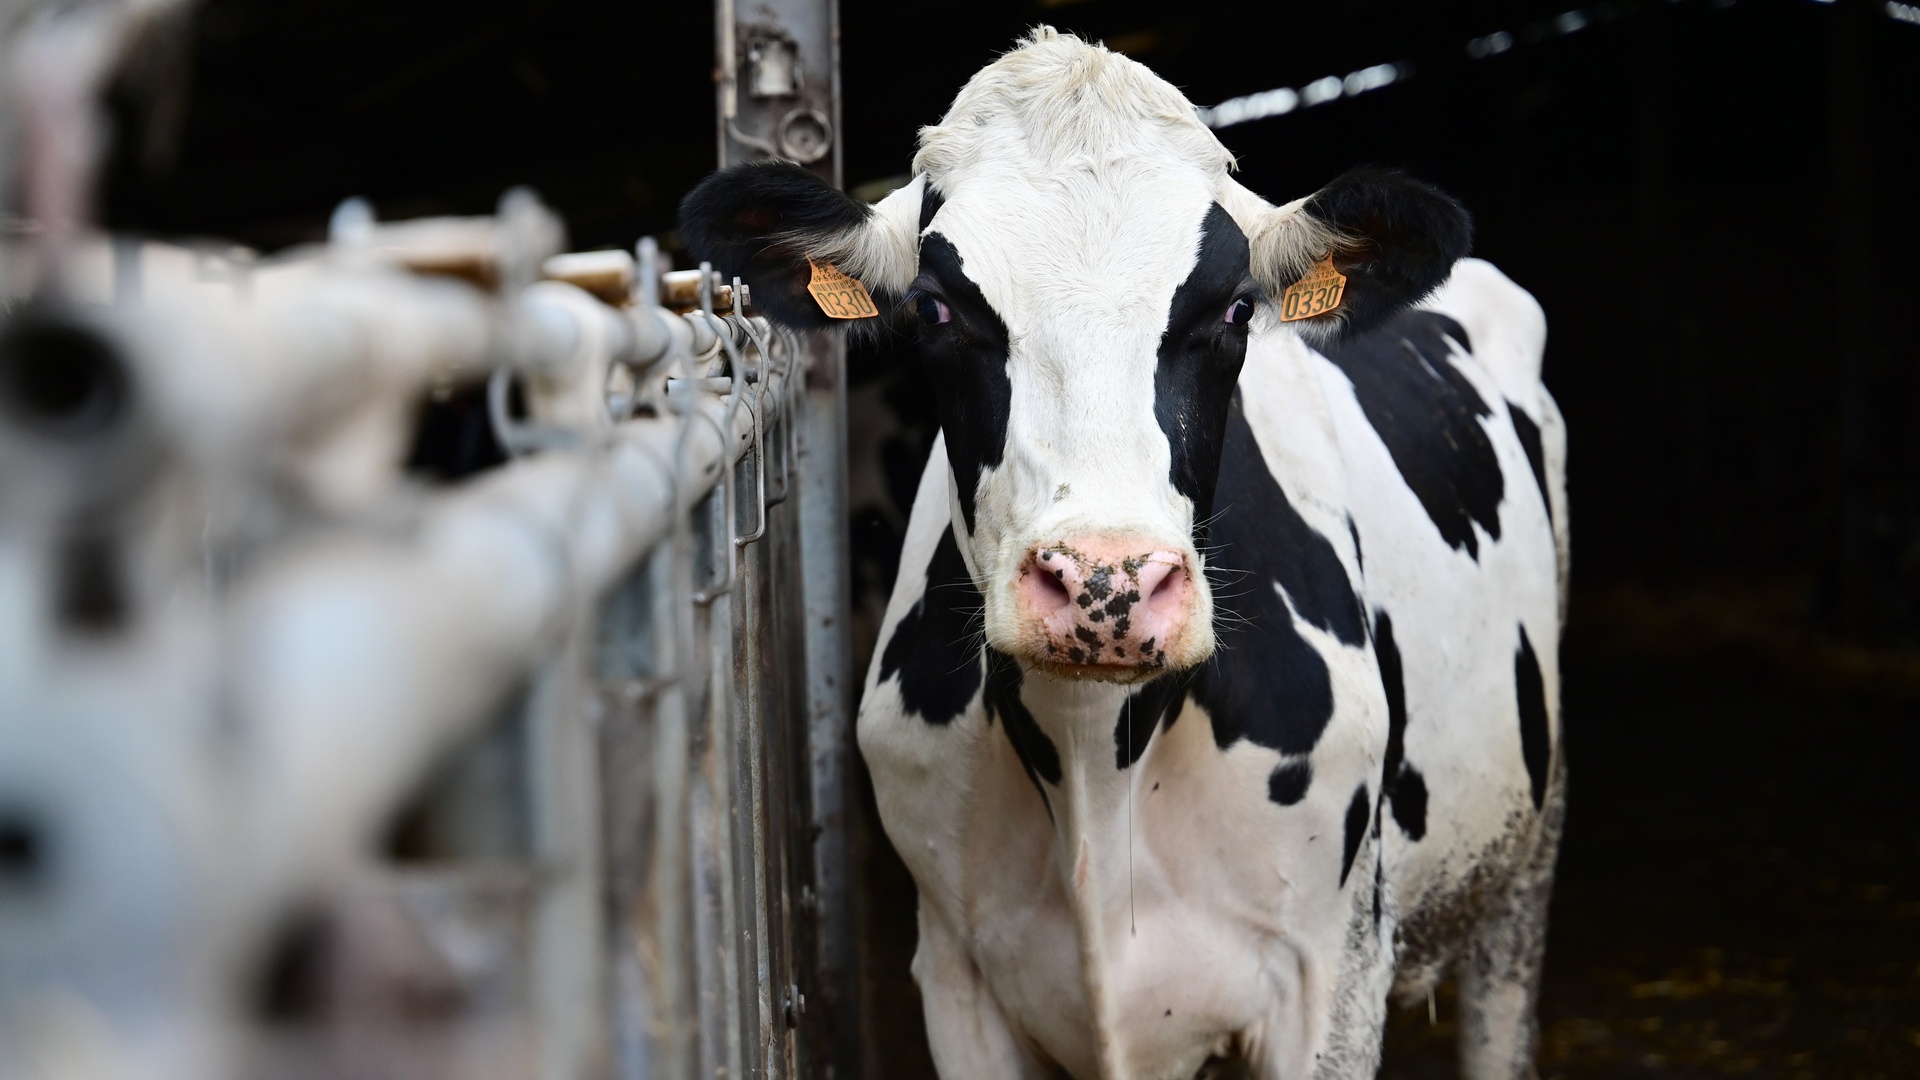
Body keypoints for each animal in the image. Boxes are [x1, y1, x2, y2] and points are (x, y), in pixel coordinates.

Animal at [680, 28, 1567, 1080]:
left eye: (1234, 310)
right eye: (936, 309)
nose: (1106, 585)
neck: (1093, 762)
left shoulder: (1333, 977)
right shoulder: (957, 980)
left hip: (1525, 850)